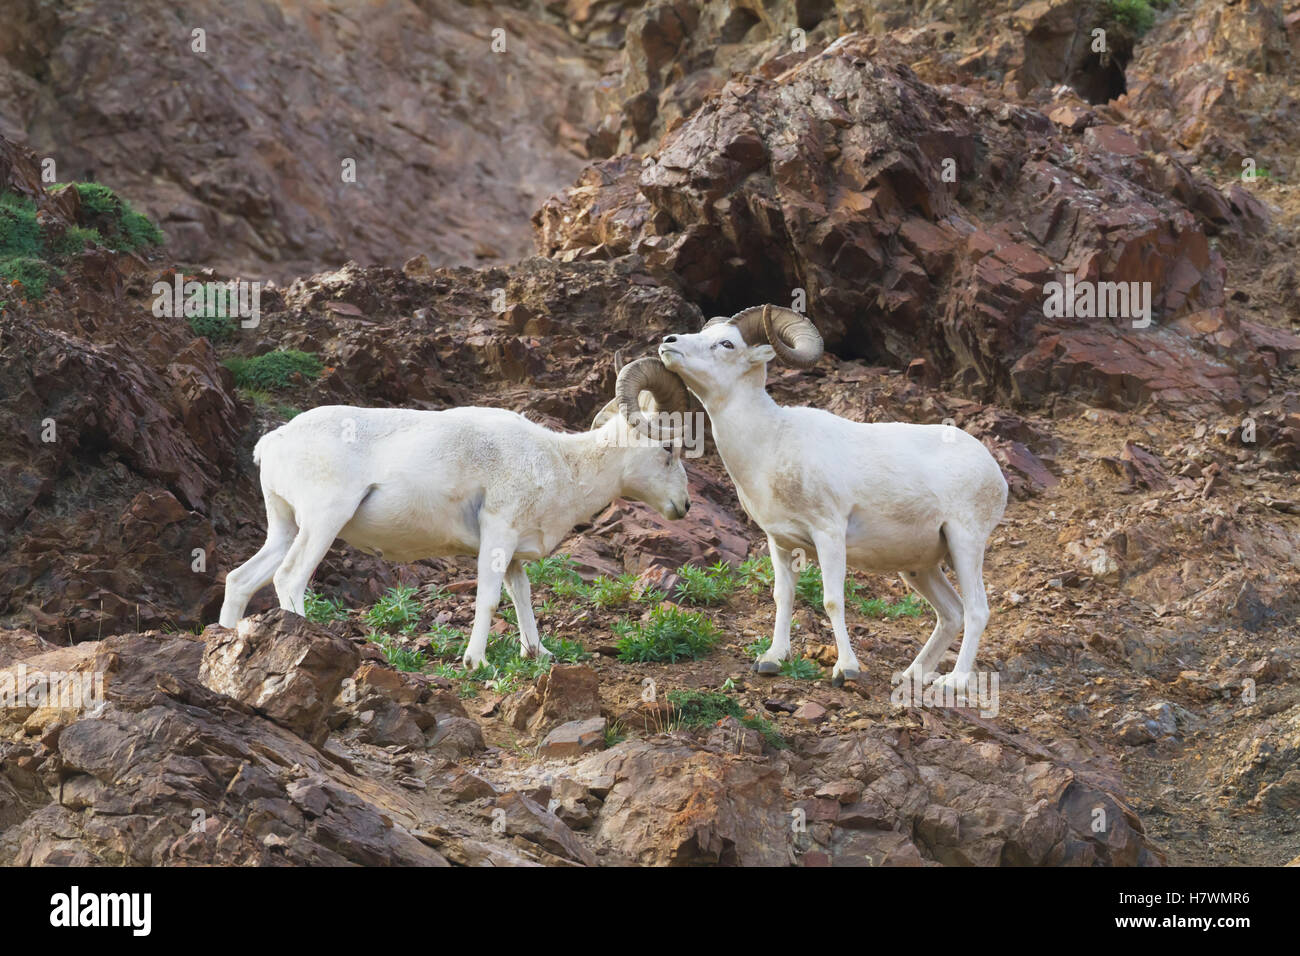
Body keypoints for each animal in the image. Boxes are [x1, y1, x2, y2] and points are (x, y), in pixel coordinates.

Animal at [219, 358, 693, 669]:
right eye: (668, 448)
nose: (684, 506)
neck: (562, 465)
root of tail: (273, 442)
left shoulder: (513, 554)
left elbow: (522, 599)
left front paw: (538, 654)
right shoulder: (497, 535)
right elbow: (489, 599)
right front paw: (475, 662)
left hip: (285, 528)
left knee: (240, 580)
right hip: (323, 522)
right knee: (290, 578)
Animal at [644, 305, 1008, 692]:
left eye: (726, 343)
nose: (669, 342)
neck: (769, 444)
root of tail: (994, 471)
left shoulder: (829, 535)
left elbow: (832, 600)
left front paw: (846, 669)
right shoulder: (780, 543)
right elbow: (783, 597)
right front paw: (771, 660)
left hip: (964, 544)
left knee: (976, 610)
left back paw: (952, 683)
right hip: (920, 566)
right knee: (951, 613)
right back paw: (912, 675)